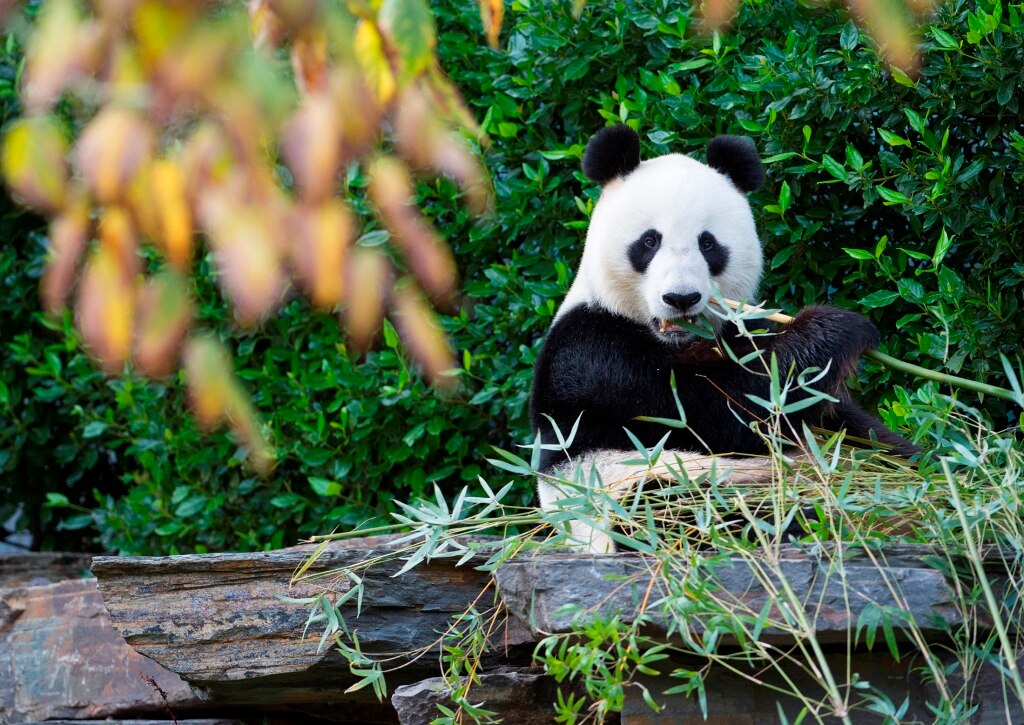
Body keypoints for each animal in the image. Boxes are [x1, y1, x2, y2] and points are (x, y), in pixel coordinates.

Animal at [529, 125, 916, 552]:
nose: (681, 298)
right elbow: (726, 408)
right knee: (686, 510)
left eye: (708, 243)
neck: (679, 340)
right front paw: (841, 327)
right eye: (649, 242)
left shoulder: (737, 332)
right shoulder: (594, 352)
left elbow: (836, 418)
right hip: (643, 492)